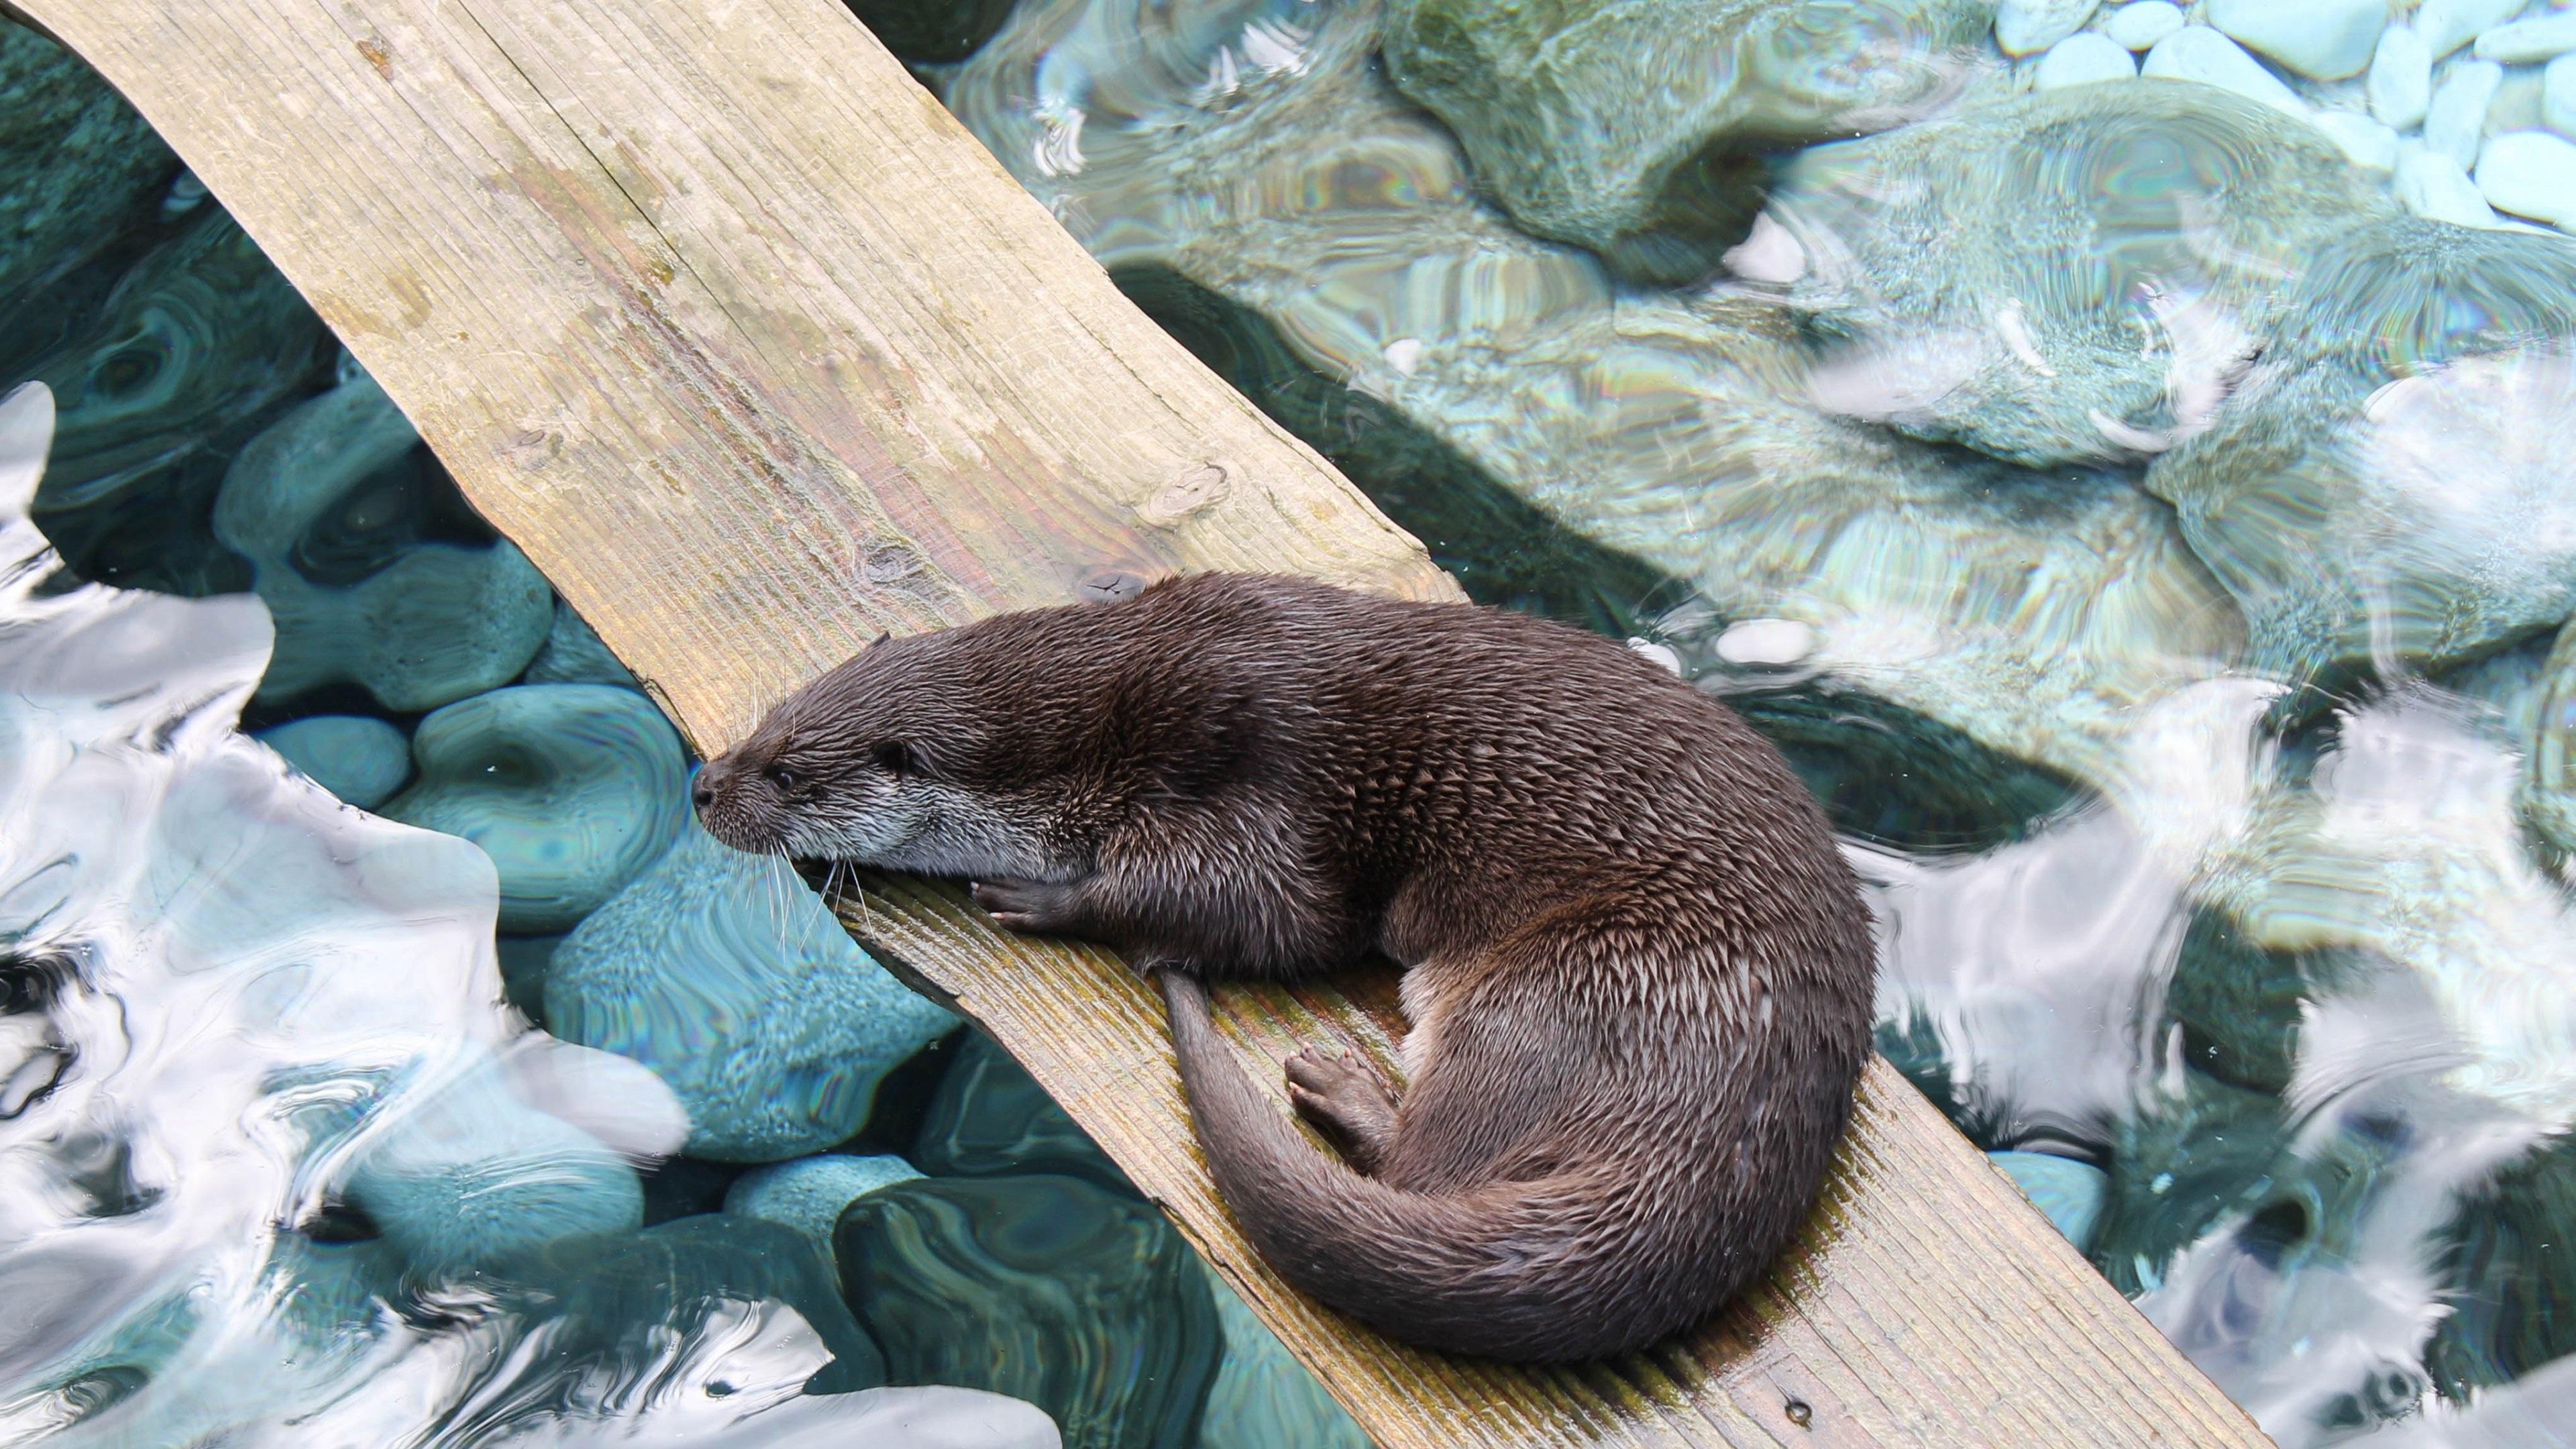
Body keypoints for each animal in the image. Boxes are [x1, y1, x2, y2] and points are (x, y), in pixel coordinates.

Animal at [693, 572, 1875, 1363]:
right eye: (766, 720)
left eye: (786, 773)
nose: (705, 786)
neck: (1091, 732)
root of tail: (1754, 1111)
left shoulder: (1250, 779)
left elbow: (1271, 916)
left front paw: (1045, 898)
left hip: (1567, 985)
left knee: (1425, 1171)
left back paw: (1342, 1088)